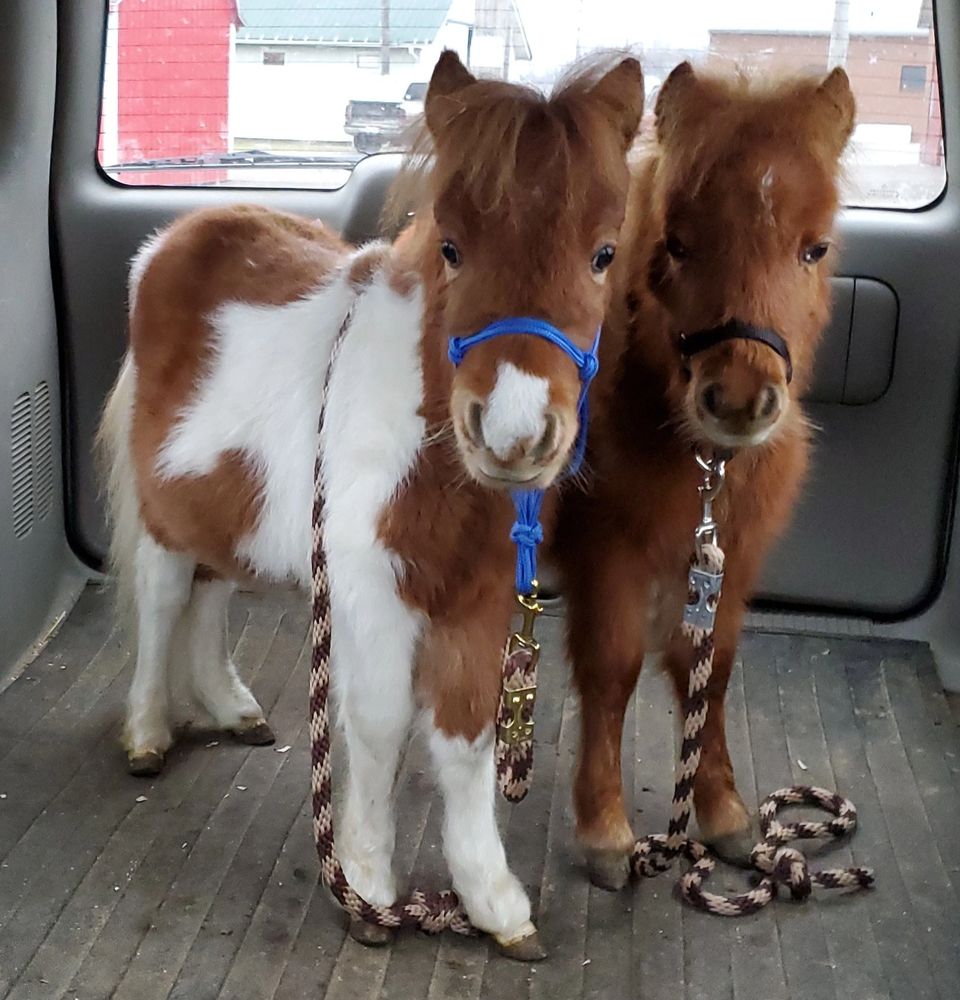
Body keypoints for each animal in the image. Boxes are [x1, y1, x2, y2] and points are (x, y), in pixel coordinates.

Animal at [96, 50, 645, 955]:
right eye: (451, 245)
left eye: (604, 253)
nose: (514, 431)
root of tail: (179, 235)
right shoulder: (370, 596)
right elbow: (382, 725)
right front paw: (368, 888)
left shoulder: (479, 600)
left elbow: (467, 737)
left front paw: (493, 903)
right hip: (166, 512)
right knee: (164, 597)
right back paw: (145, 733)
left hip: (229, 502)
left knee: (212, 593)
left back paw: (231, 708)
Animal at [551, 62, 856, 890]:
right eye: (678, 244)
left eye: (815, 248)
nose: (739, 399)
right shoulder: (607, 554)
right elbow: (613, 670)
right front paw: (604, 829)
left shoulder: (731, 557)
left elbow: (710, 671)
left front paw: (721, 813)